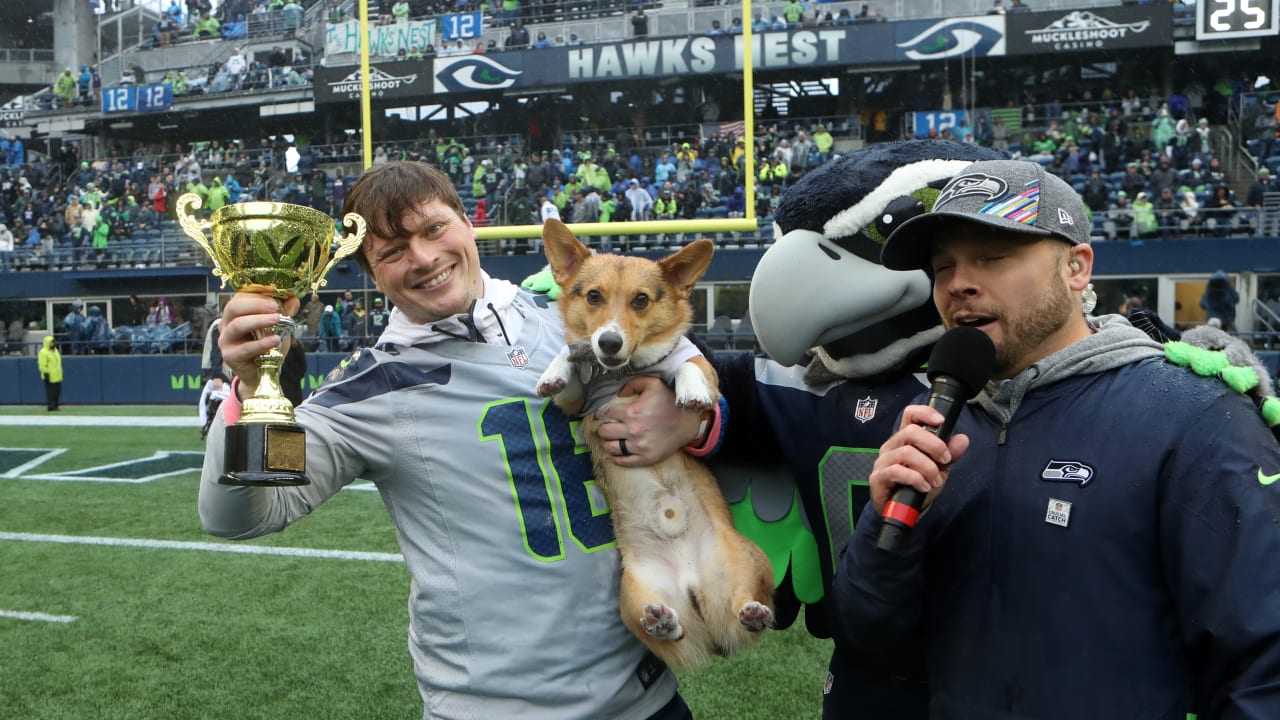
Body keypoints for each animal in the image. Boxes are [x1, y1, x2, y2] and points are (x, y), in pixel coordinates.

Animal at [535, 217, 773, 666]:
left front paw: (691, 391)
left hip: (751, 562)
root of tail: (694, 589)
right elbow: (570, 358)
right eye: (594, 296)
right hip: (632, 595)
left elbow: (689, 365)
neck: (623, 370)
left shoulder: (698, 363)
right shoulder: (577, 398)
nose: (608, 342)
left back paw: (752, 612)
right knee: (674, 635)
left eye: (641, 300)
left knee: (747, 615)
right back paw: (664, 622)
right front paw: (553, 372)